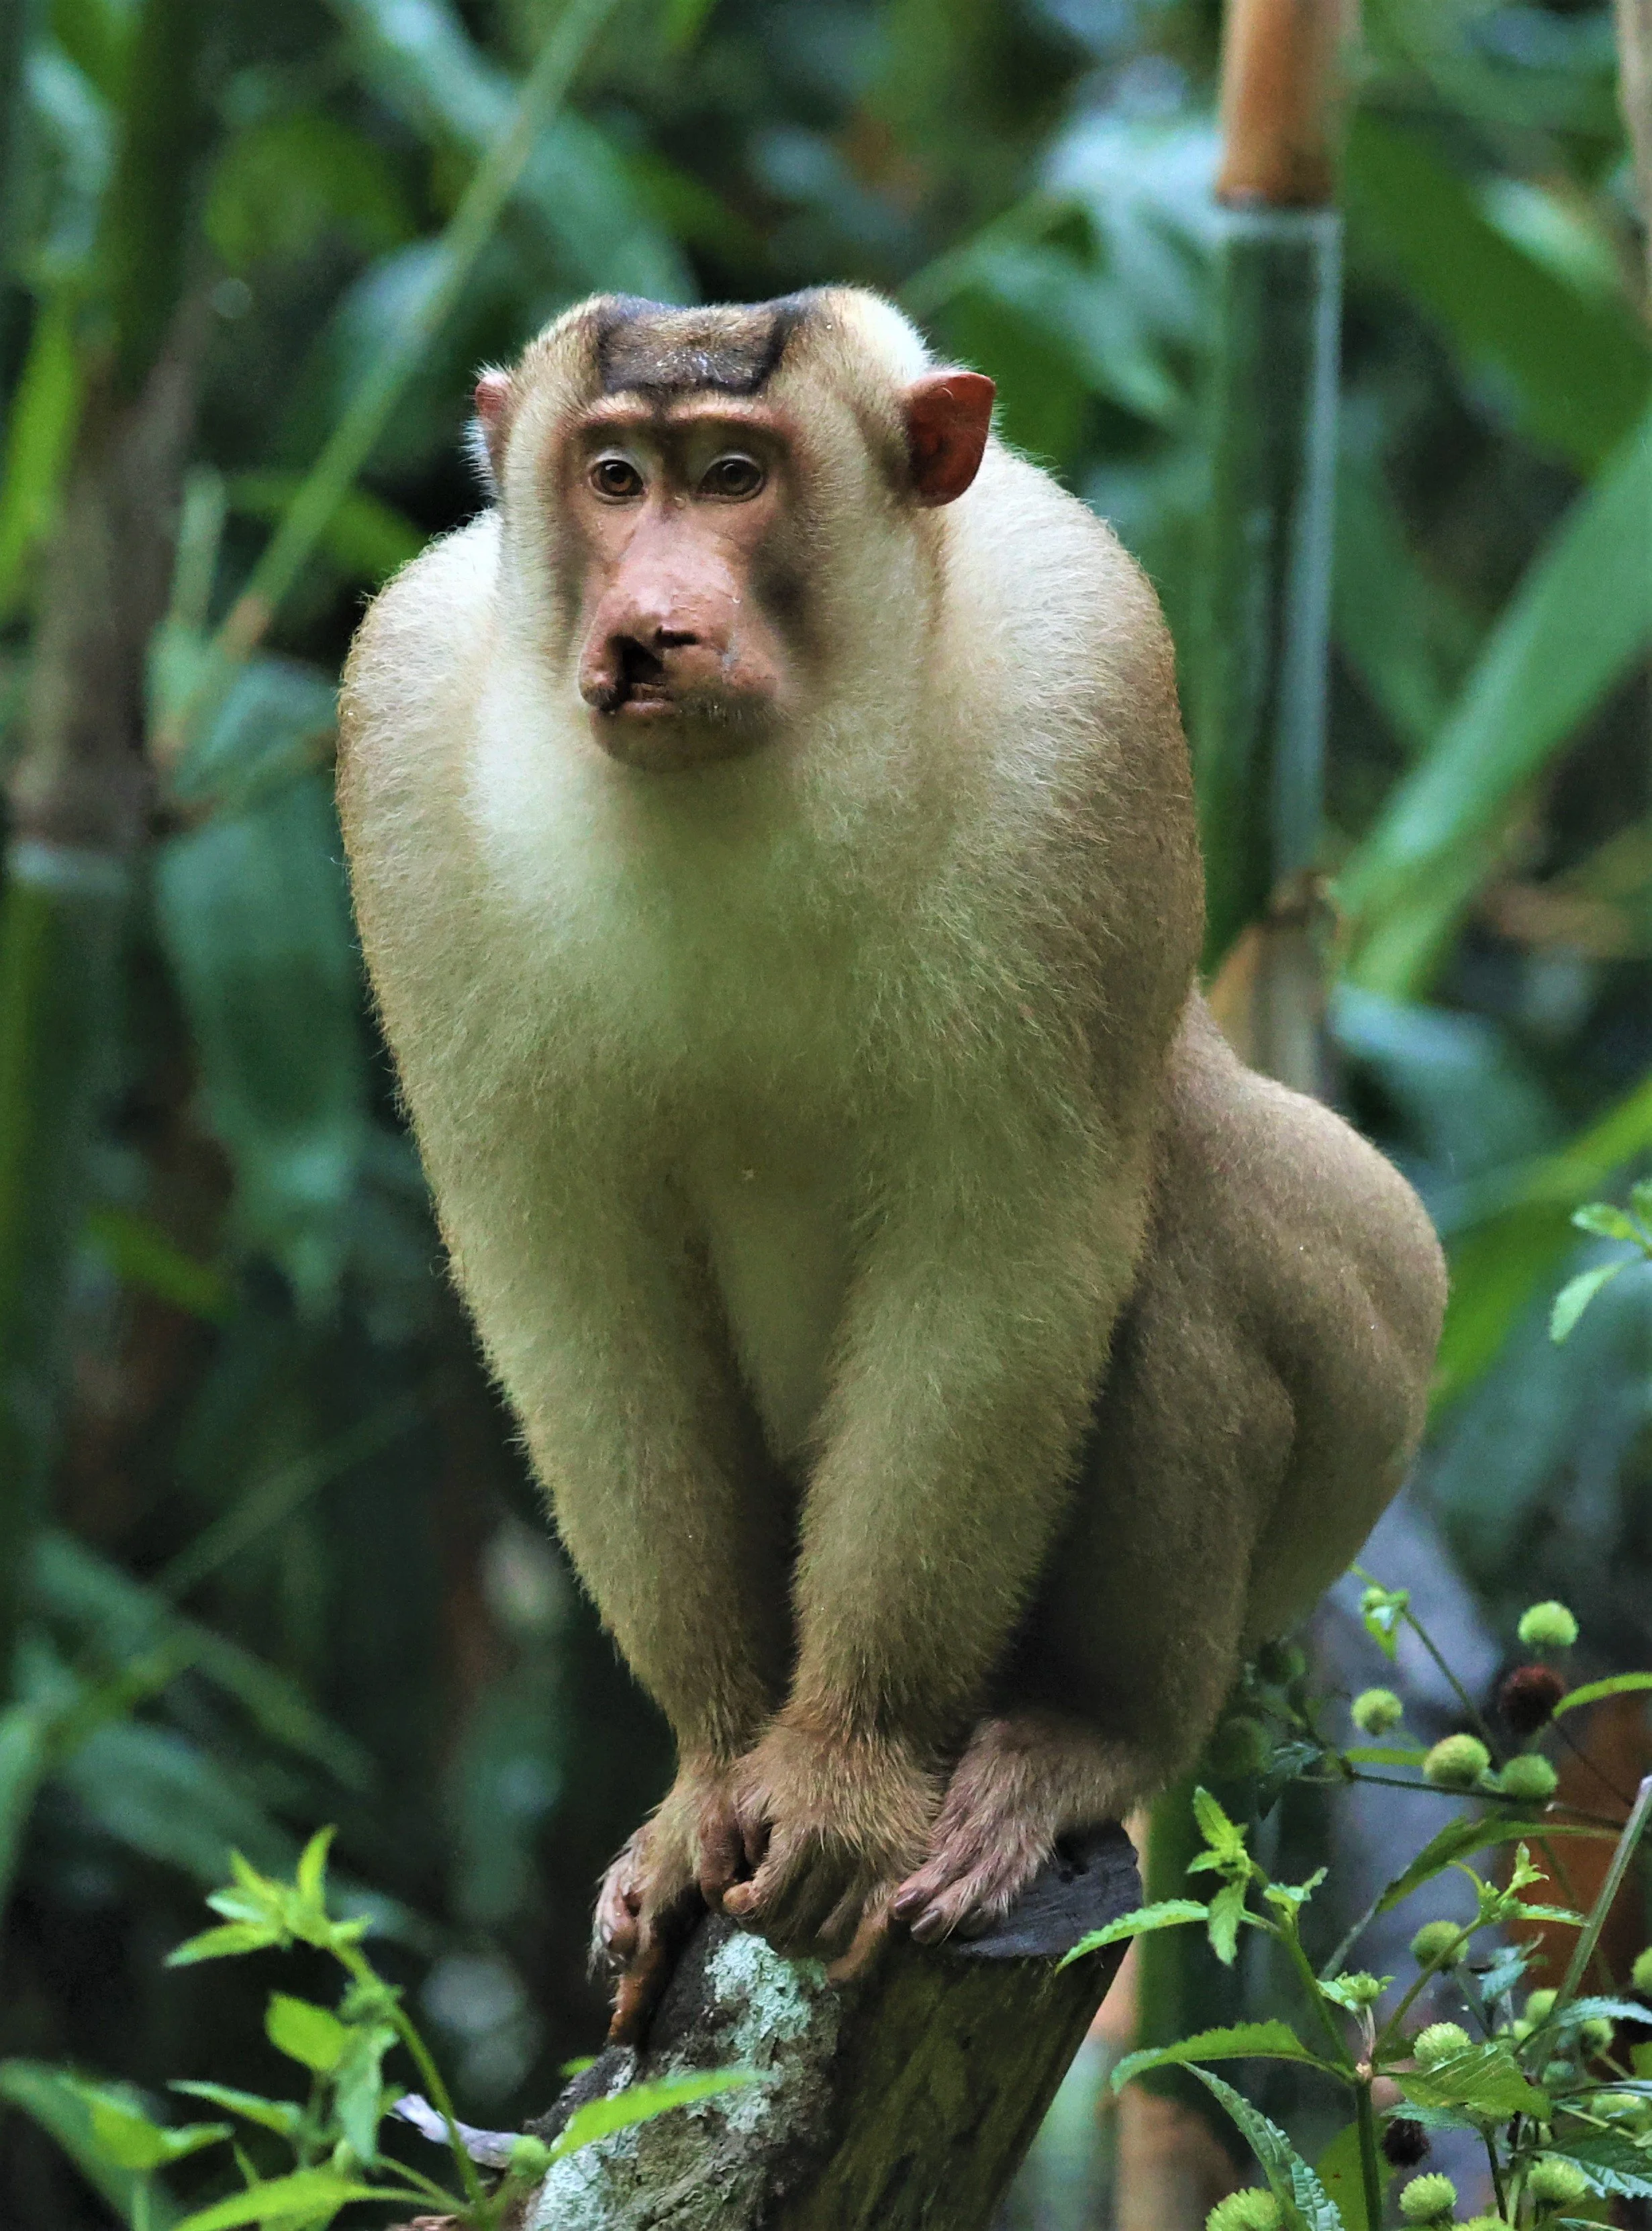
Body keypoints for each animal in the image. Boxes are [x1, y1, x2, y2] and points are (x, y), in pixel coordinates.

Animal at [337, 287, 1446, 2041]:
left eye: (733, 476)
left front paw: (844, 1775)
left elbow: (1001, 1252)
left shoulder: (1085, 668)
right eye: (612, 475)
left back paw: (1083, 1734)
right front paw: (713, 1772)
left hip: (1365, 1418)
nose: (651, 624)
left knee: (1193, 1216)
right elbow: (574, 1293)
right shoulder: (401, 718)